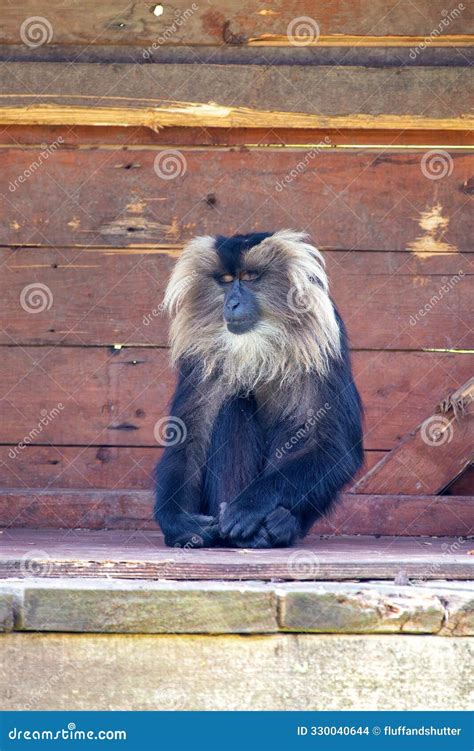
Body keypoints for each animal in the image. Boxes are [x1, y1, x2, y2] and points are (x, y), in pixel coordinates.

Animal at [154, 230, 363, 549]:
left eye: (250, 277)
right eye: (227, 280)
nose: (232, 303)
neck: (257, 342)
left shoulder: (325, 339)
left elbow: (331, 447)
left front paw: (249, 507)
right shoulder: (199, 358)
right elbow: (188, 437)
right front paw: (179, 523)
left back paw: (278, 525)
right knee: (235, 404)